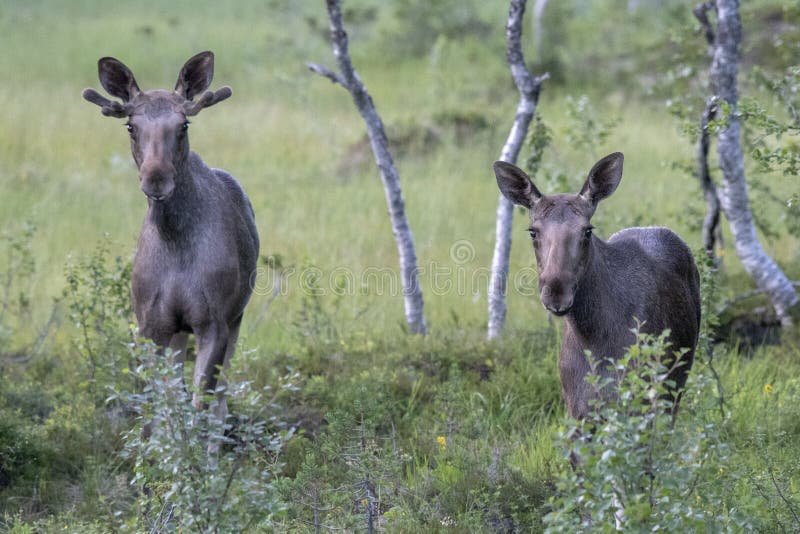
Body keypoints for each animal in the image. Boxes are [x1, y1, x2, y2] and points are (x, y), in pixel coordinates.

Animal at [83, 51, 259, 425]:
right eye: (130, 126)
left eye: (184, 125)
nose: (156, 177)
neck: (174, 242)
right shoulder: (152, 325)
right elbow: (156, 410)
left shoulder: (214, 321)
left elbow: (199, 405)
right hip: (179, 333)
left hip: (236, 315)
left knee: (222, 398)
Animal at [494, 153, 700, 421]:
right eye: (533, 231)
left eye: (587, 230)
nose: (556, 293)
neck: (592, 338)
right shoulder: (576, 409)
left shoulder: (640, 403)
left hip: (674, 383)